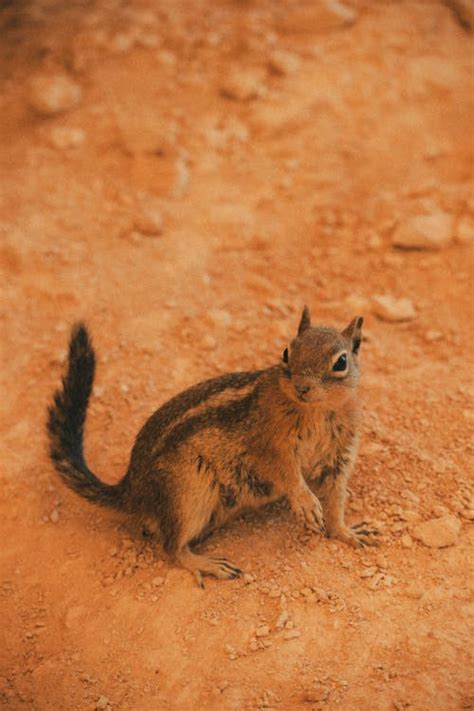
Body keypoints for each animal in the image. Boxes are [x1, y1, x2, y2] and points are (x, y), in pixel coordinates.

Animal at [47, 306, 377, 587]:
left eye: (341, 362)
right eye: (287, 352)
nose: (302, 387)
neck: (316, 411)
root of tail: (132, 490)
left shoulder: (341, 454)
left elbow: (336, 500)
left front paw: (347, 532)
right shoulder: (269, 444)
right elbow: (287, 473)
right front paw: (306, 502)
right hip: (187, 495)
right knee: (171, 547)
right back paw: (207, 564)